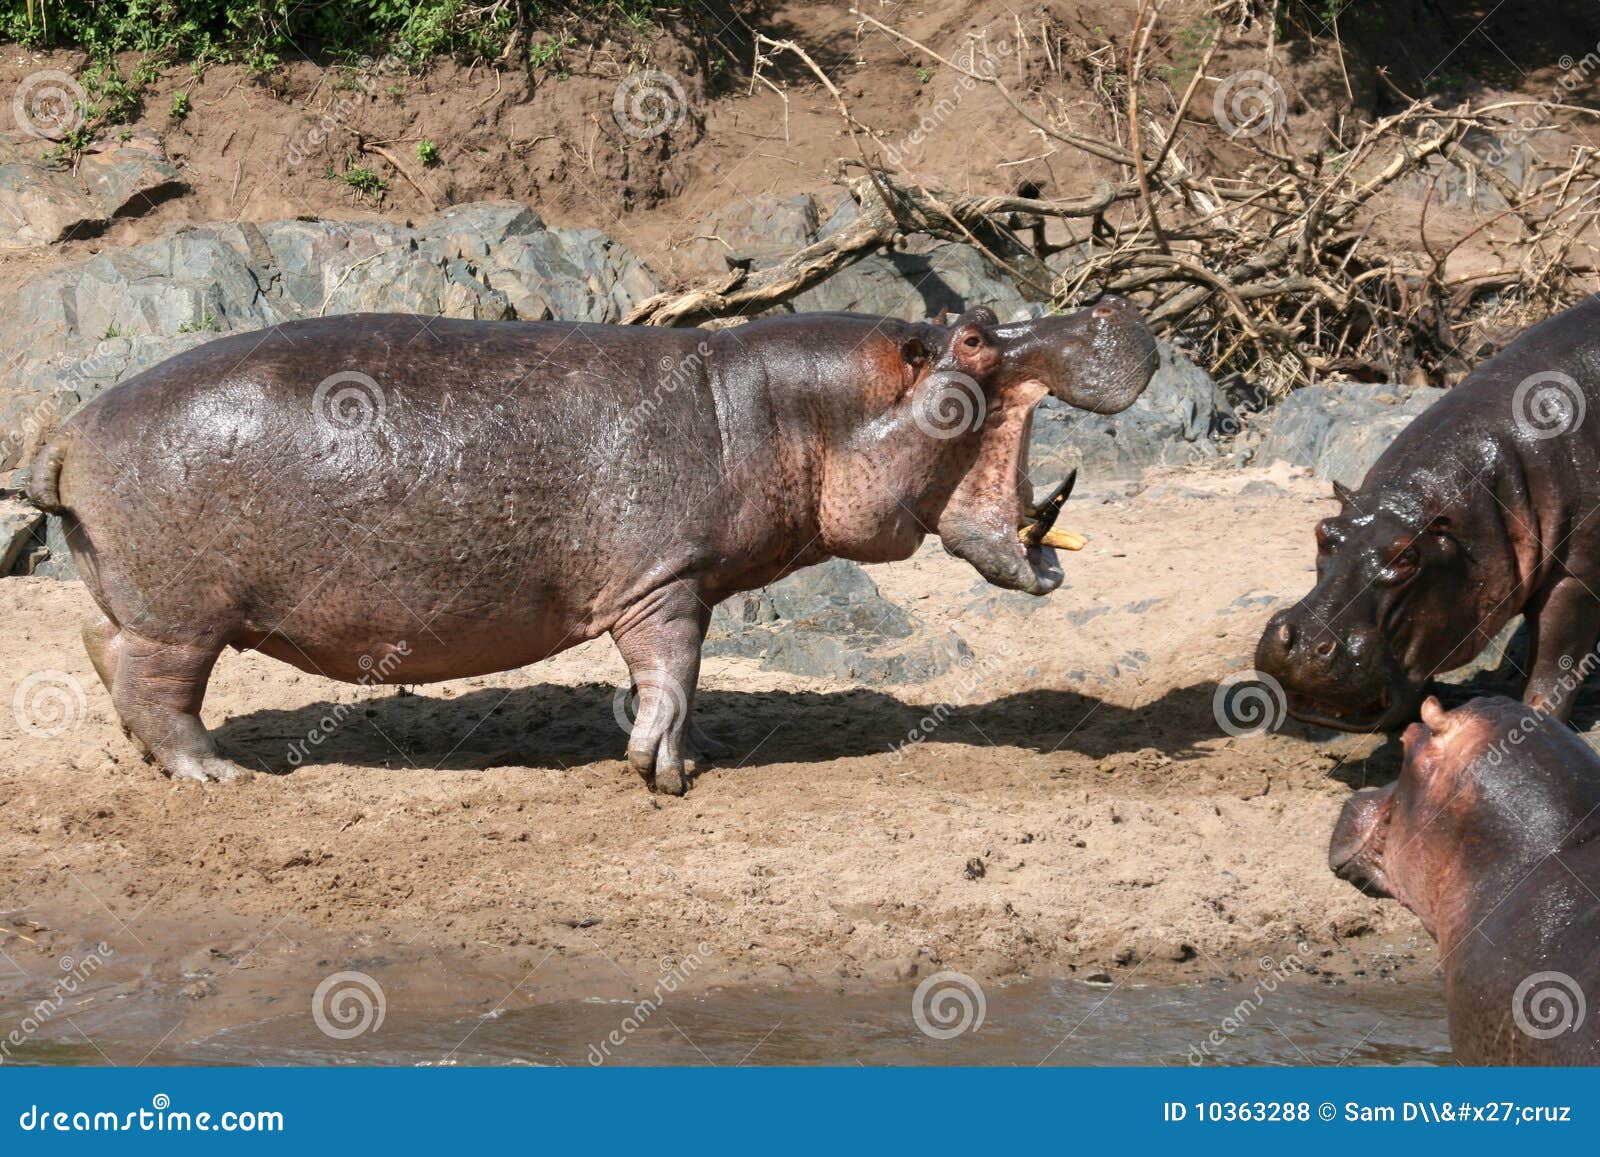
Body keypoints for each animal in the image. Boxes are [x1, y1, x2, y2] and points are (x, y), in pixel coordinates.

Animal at [25, 302, 1157, 793]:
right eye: (973, 337)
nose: (1118, 306)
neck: (790, 406)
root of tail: (68, 429)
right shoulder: (668, 579)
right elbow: (673, 672)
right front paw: (667, 773)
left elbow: (677, 680)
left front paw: (688, 761)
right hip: (185, 616)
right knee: (153, 687)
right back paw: (217, 776)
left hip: (153, 607)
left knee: (99, 650)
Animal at [1258, 298, 1600, 730]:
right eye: (1323, 531)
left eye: (1407, 557)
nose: (1302, 645)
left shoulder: (1576, 574)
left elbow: (1557, 659)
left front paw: (1539, 719)